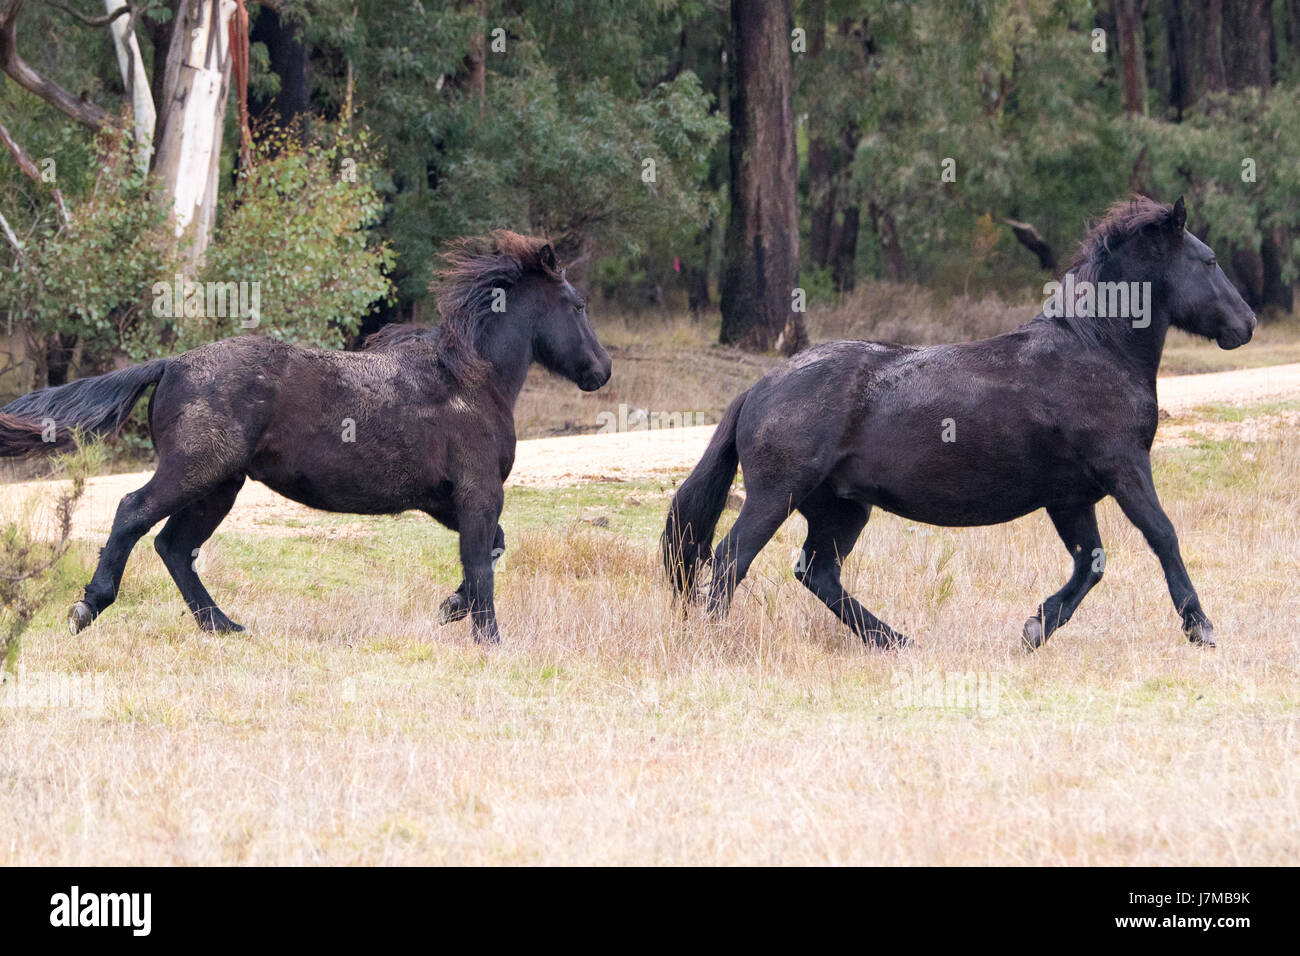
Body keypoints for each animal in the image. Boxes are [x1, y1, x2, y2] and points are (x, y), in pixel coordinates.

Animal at [1, 231, 611, 643]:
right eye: (578, 305)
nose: (601, 371)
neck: (468, 377)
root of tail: (172, 364)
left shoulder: (447, 500)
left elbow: (489, 550)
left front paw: (450, 607)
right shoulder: (478, 493)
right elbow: (483, 563)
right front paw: (487, 638)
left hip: (219, 486)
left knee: (174, 546)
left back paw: (224, 626)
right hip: (195, 471)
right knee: (133, 514)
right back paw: (89, 608)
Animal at [663, 197, 1255, 650]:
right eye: (1209, 260)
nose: (1246, 324)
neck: (1094, 351)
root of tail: (758, 389)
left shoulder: (1070, 497)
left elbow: (1091, 564)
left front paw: (1035, 628)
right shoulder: (1124, 469)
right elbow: (1163, 536)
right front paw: (1201, 628)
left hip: (841, 508)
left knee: (818, 573)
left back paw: (895, 640)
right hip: (776, 495)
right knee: (730, 561)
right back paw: (715, 640)